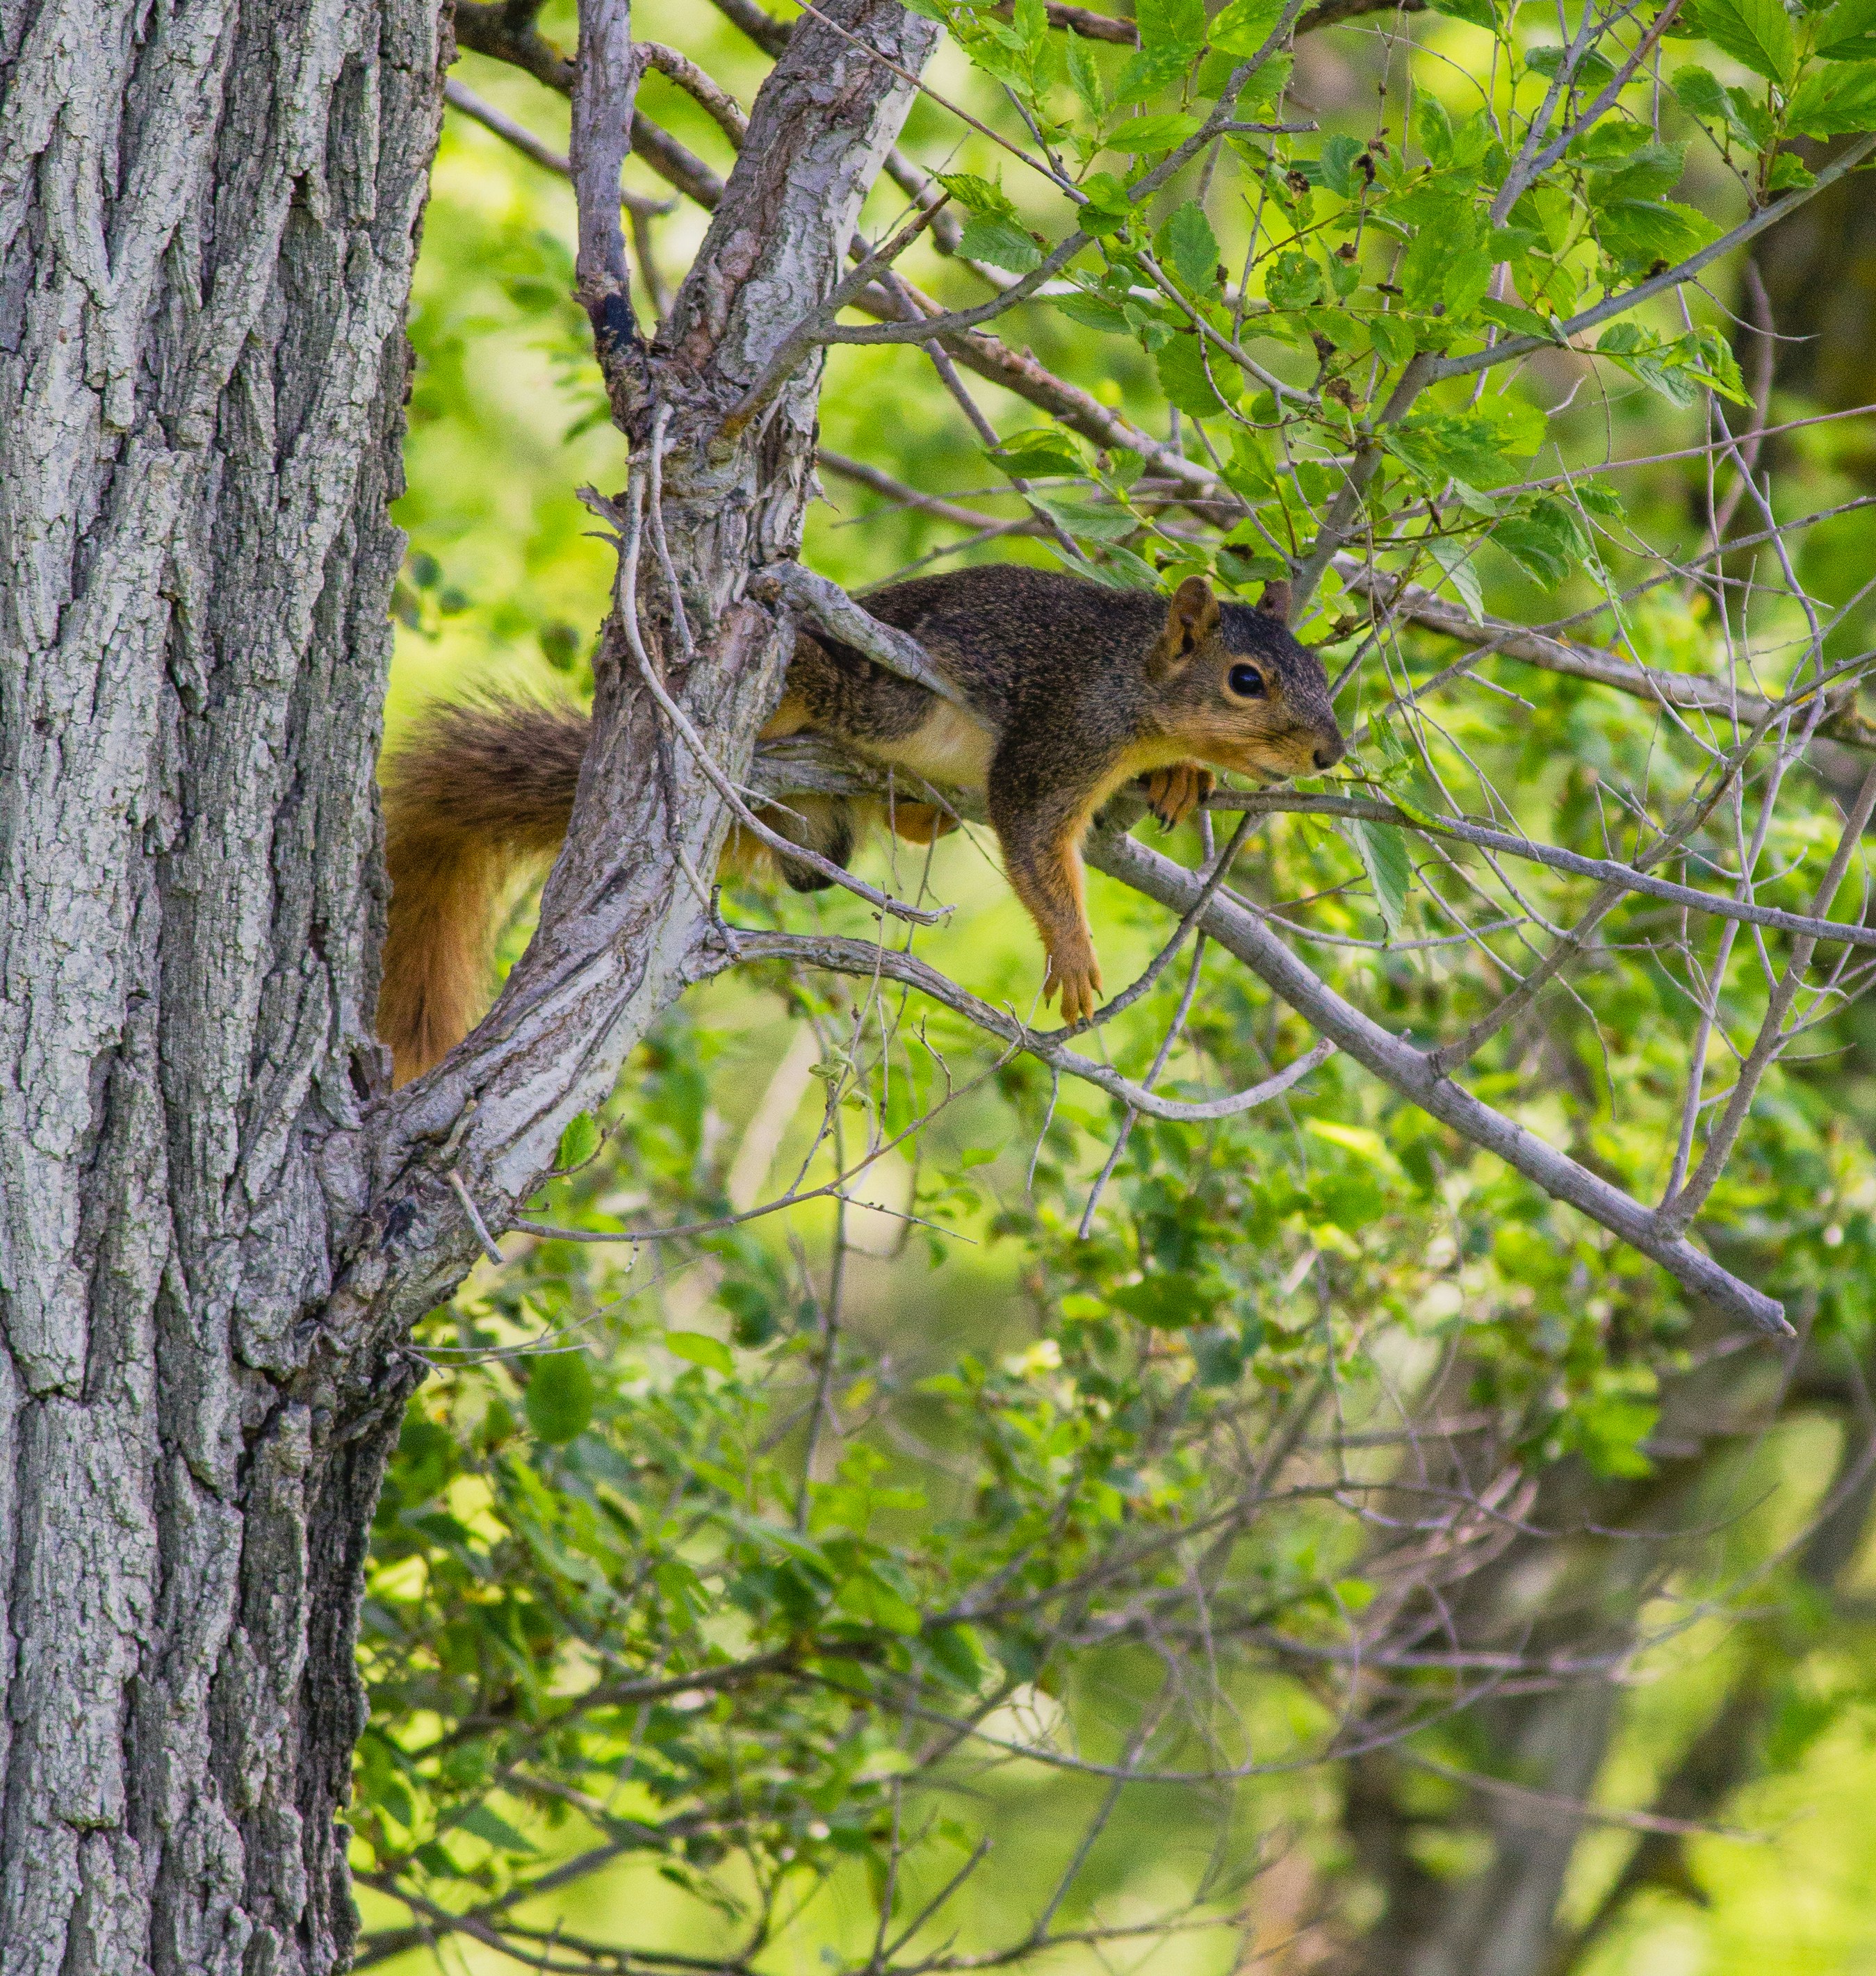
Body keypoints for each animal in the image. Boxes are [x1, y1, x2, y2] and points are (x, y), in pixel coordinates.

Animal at [378, 563, 1345, 1086]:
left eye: (1316, 670)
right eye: (1246, 680)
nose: (1330, 751)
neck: (1130, 673)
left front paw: (1184, 775)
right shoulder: (1060, 736)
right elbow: (1034, 840)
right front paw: (1071, 956)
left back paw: (918, 813)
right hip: (876, 696)